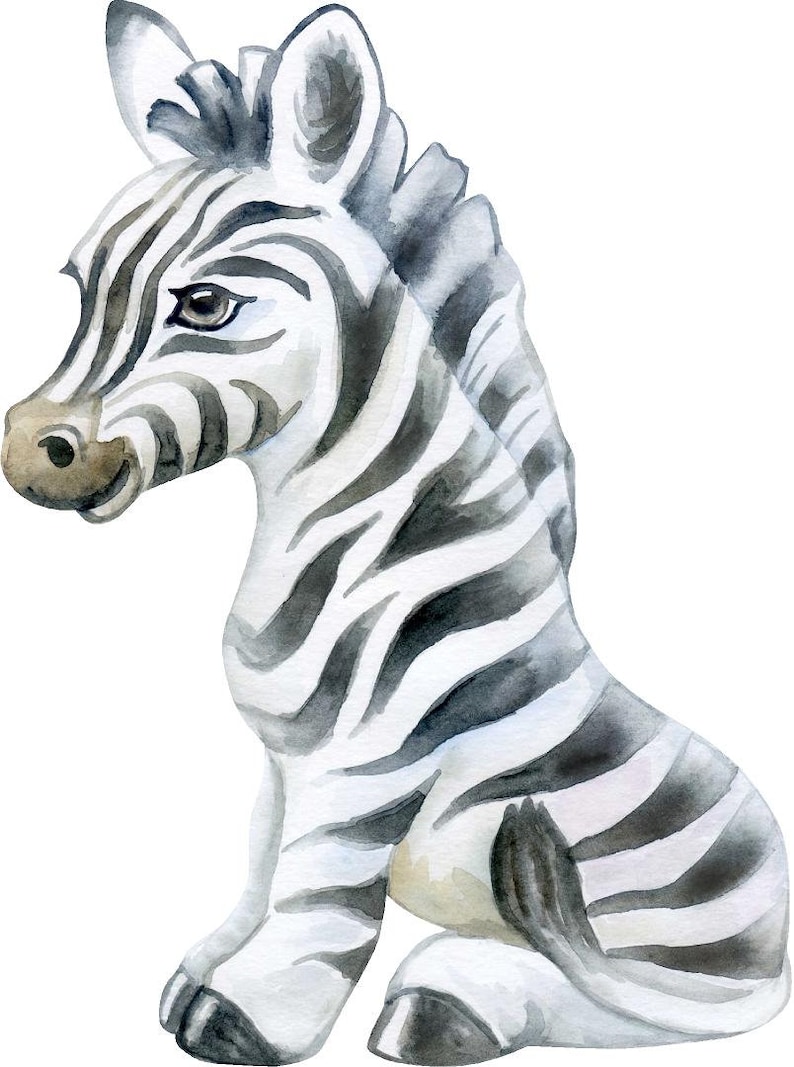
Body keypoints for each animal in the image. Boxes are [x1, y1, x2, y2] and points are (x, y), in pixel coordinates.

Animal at [1, 1, 789, 1063]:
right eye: (79, 285)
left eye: (203, 304)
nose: (26, 456)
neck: (375, 544)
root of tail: (782, 930)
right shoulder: (282, 760)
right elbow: (261, 869)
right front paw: (203, 972)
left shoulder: (365, 771)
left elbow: (317, 898)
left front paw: (249, 1018)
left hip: (661, 921)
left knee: (628, 998)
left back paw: (444, 1001)